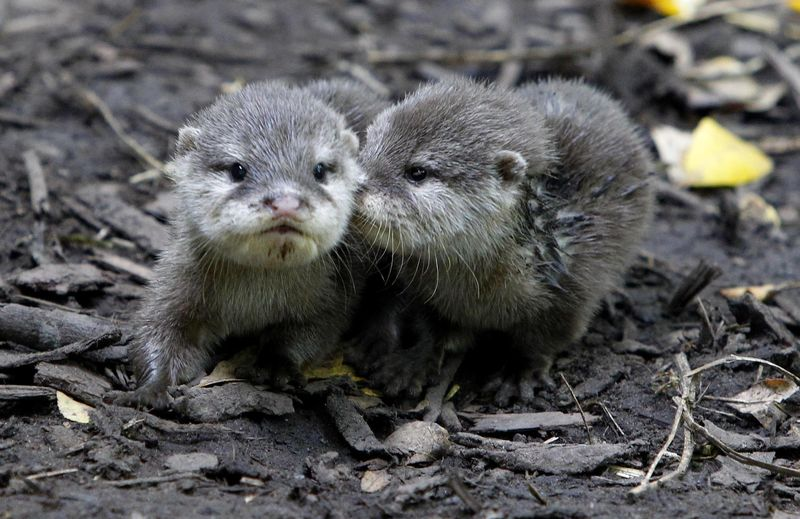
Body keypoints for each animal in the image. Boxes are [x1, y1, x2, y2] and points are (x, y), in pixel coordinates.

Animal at [115, 79, 387, 409]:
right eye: (237, 169)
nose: (286, 202)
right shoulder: (178, 280)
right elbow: (157, 329)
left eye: (319, 169)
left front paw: (274, 364)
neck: (253, 301)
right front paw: (152, 387)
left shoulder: (332, 293)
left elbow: (311, 333)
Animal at [354, 78, 653, 403]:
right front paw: (411, 363)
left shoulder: (573, 289)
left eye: (418, 172)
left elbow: (544, 340)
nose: (356, 187)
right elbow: (427, 326)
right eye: (368, 146)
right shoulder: (422, 288)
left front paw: (519, 374)